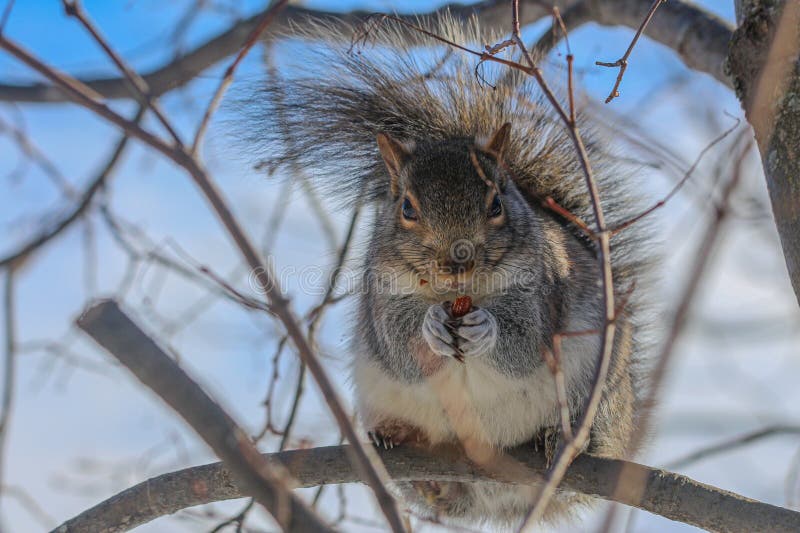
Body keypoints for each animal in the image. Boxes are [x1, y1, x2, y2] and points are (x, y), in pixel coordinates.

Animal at [247, 13, 653, 529]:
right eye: (406, 207)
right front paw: (430, 327)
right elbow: (398, 343)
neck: (457, 293)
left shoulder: (543, 288)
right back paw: (401, 446)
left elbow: (527, 343)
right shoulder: (382, 295)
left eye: (497, 203)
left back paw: (554, 441)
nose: (456, 262)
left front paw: (486, 328)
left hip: (599, 393)